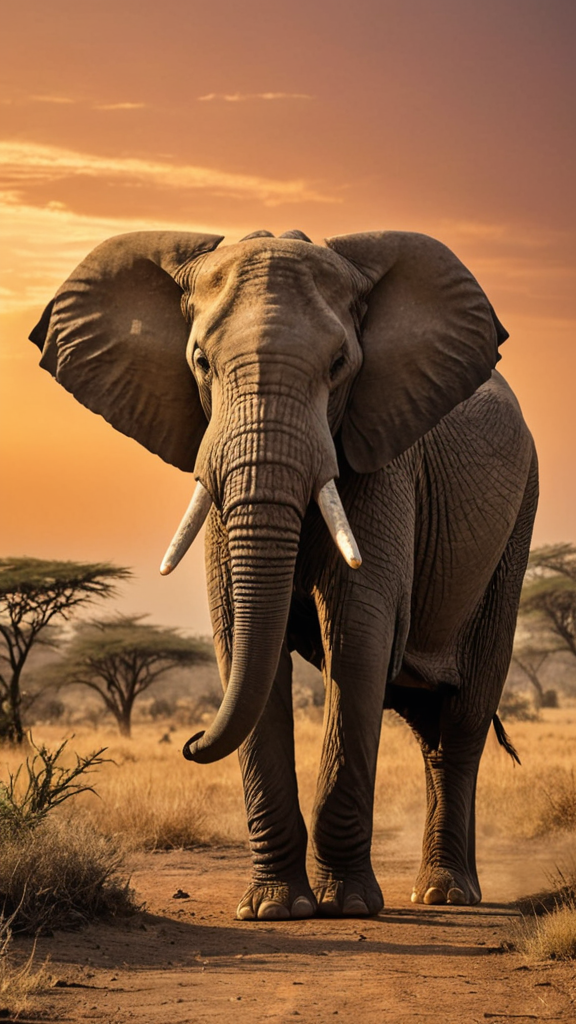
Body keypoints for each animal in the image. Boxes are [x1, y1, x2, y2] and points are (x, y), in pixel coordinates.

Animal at [29, 226, 537, 921]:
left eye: (340, 365)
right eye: (201, 363)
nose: (189, 740)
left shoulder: (381, 459)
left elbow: (358, 637)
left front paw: (347, 906)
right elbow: (239, 638)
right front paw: (272, 909)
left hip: (516, 524)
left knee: (461, 720)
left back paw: (446, 894)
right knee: (427, 719)